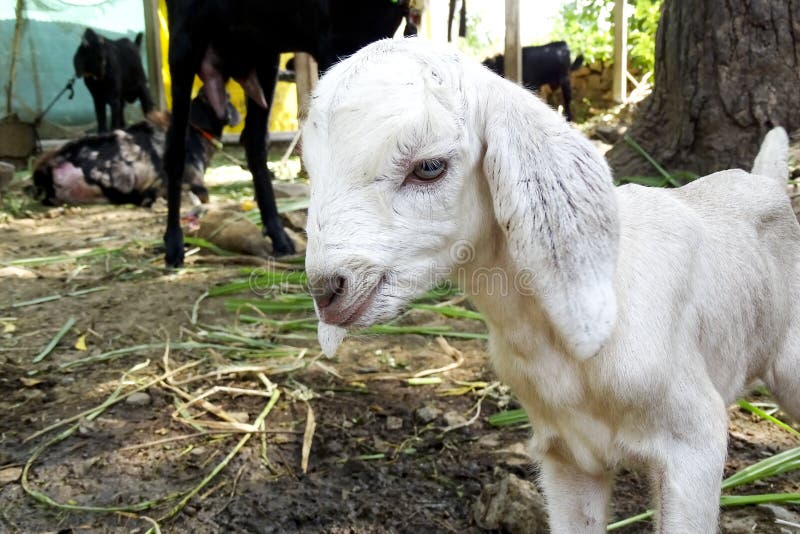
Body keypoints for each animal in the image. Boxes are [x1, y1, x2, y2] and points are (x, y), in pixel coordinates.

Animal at [162, 0, 416, 267]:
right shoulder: (334, 42)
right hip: (184, 48)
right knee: (176, 149)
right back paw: (174, 243)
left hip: (264, 56)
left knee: (253, 140)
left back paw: (278, 235)